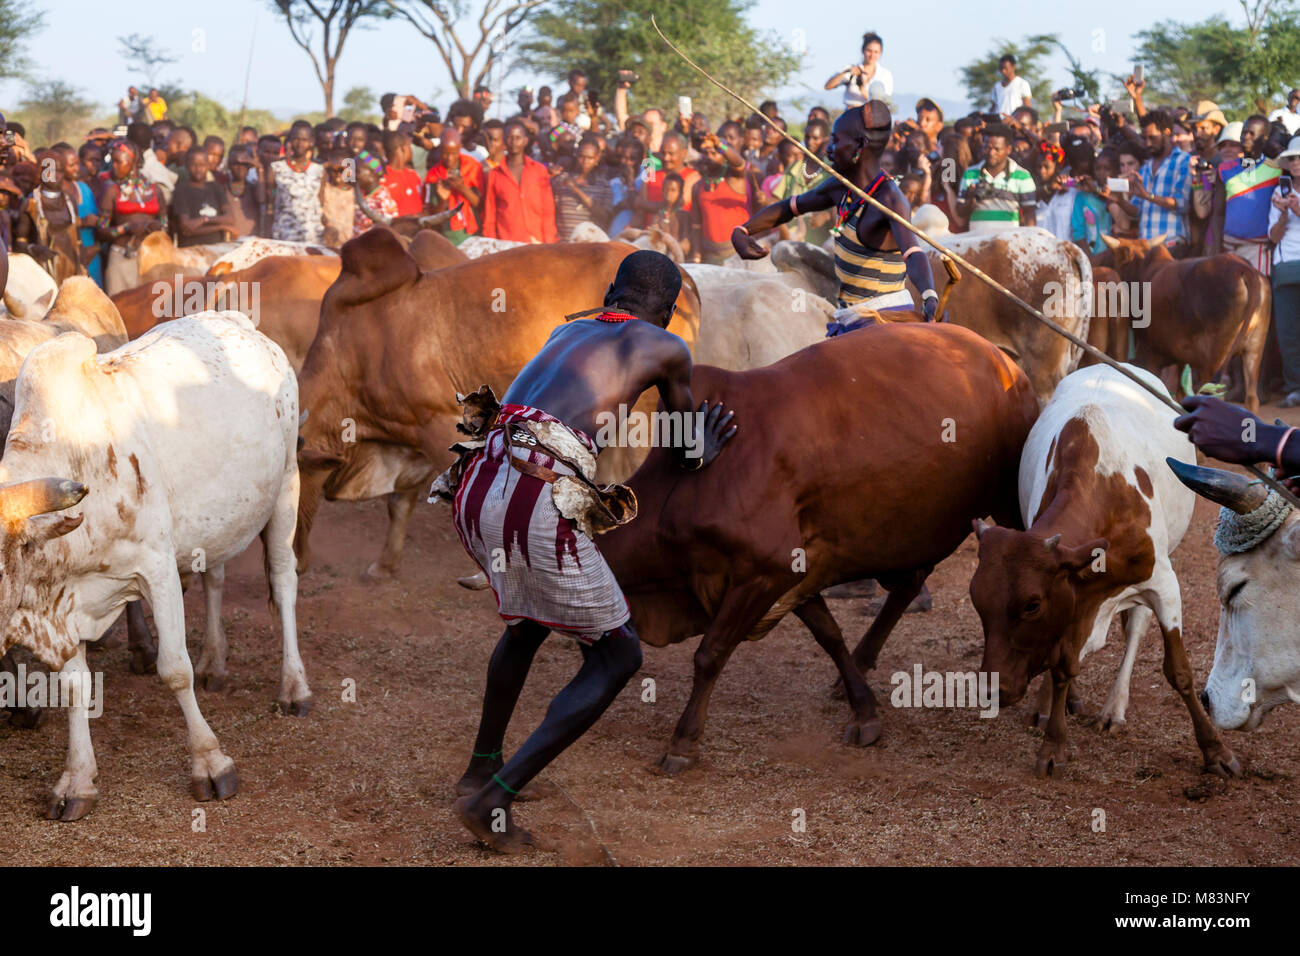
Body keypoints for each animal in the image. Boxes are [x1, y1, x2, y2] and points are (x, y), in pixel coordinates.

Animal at [0, 309, 308, 820]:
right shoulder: (68, 600)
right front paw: (77, 781)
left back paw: (294, 687)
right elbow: (75, 688)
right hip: (215, 524)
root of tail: (239, 321)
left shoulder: (156, 569)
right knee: (215, 578)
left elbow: (174, 669)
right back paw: (215, 662)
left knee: (283, 583)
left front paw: (210, 764)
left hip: (286, 485)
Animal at [294, 231, 702, 580]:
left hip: (641, 419)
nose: (296, 561)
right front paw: (384, 566)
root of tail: (685, 275)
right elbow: (399, 503)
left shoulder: (437, 423)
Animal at [588, 322, 1037, 771]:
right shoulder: (796, 572)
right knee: (909, 584)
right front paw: (864, 710)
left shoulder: (765, 571)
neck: (682, 488)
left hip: (1008, 501)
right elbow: (829, 635)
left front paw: (683, 742)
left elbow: (709, 654)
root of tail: (1002, 359)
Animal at [969, 363, 1240, 778]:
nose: (992, 690)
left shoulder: (1164, 584)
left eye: (1031, 605)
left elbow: (1178, 671)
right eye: (977, 603)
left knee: (1135, 629)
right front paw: (1053, 741)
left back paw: (1114, 708)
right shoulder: (1070, 596)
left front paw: (1215, 750)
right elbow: (1062, 665)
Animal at [1097, 235, 1271, 411]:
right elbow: (1181, 393)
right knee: (1251, 397)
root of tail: (1244, 270)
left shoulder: (1149, 355)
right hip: (1254, 351)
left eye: (1113, 256)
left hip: (1215, 362)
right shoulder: (1181, 360)